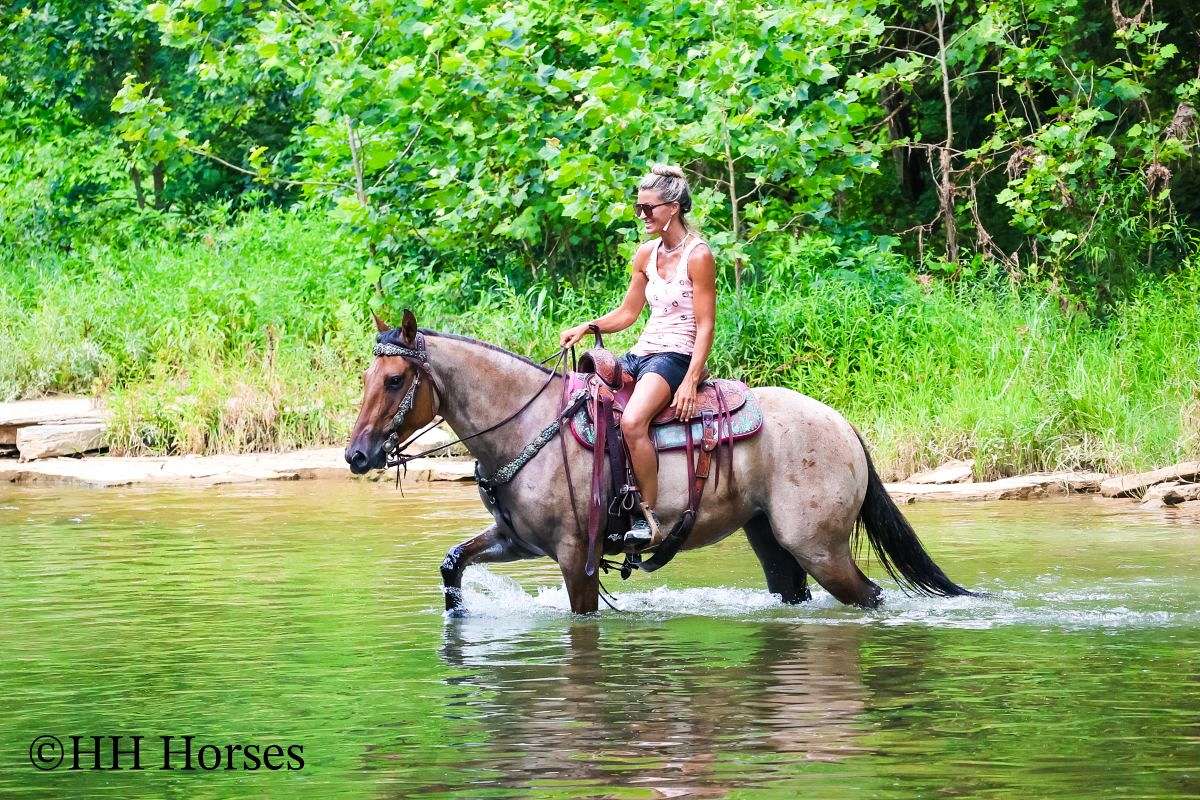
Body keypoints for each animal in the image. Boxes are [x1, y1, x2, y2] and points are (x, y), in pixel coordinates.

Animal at [345, 310, 971, 614]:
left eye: (395, 380)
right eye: (367, 377)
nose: (357, 455)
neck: (526, 425)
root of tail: (844, 427)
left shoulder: (576, 557)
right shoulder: (517, 540)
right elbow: (452, 565)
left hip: (819, 545)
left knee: (871, 597)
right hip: (771, 540)